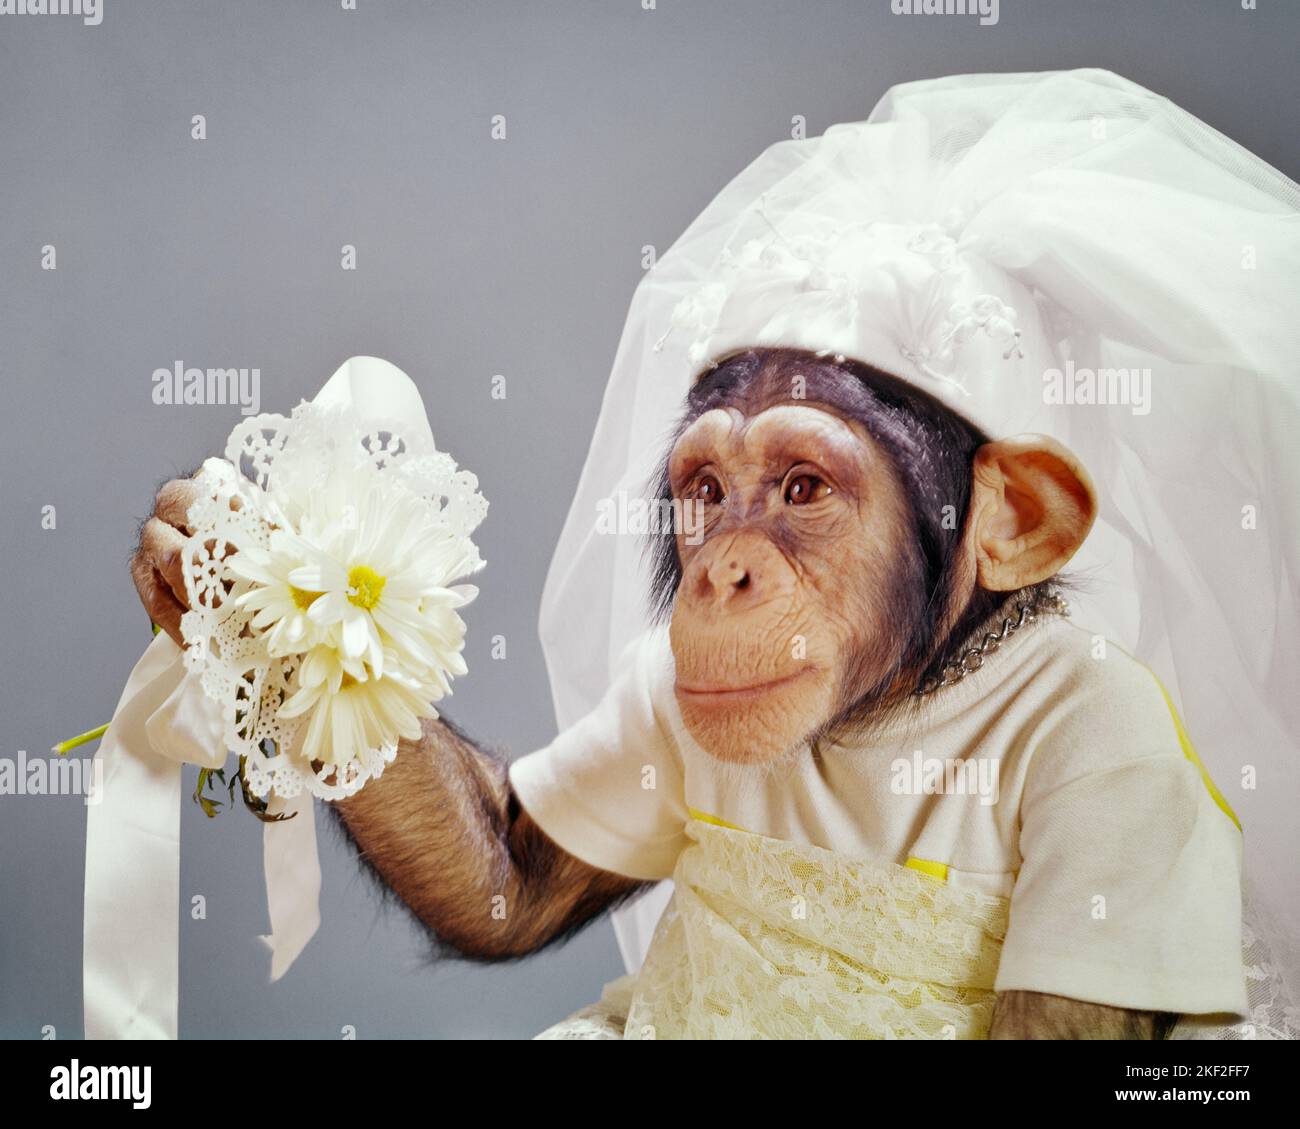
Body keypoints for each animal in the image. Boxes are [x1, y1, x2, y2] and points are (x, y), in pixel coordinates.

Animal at [132, 346, 1245, 1039]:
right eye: (707, 491)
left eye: (802, 487)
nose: (723, 574)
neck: (906, 697)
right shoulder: (656, 695)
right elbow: (509, 884)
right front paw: (210, 549)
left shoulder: (1120, 763)